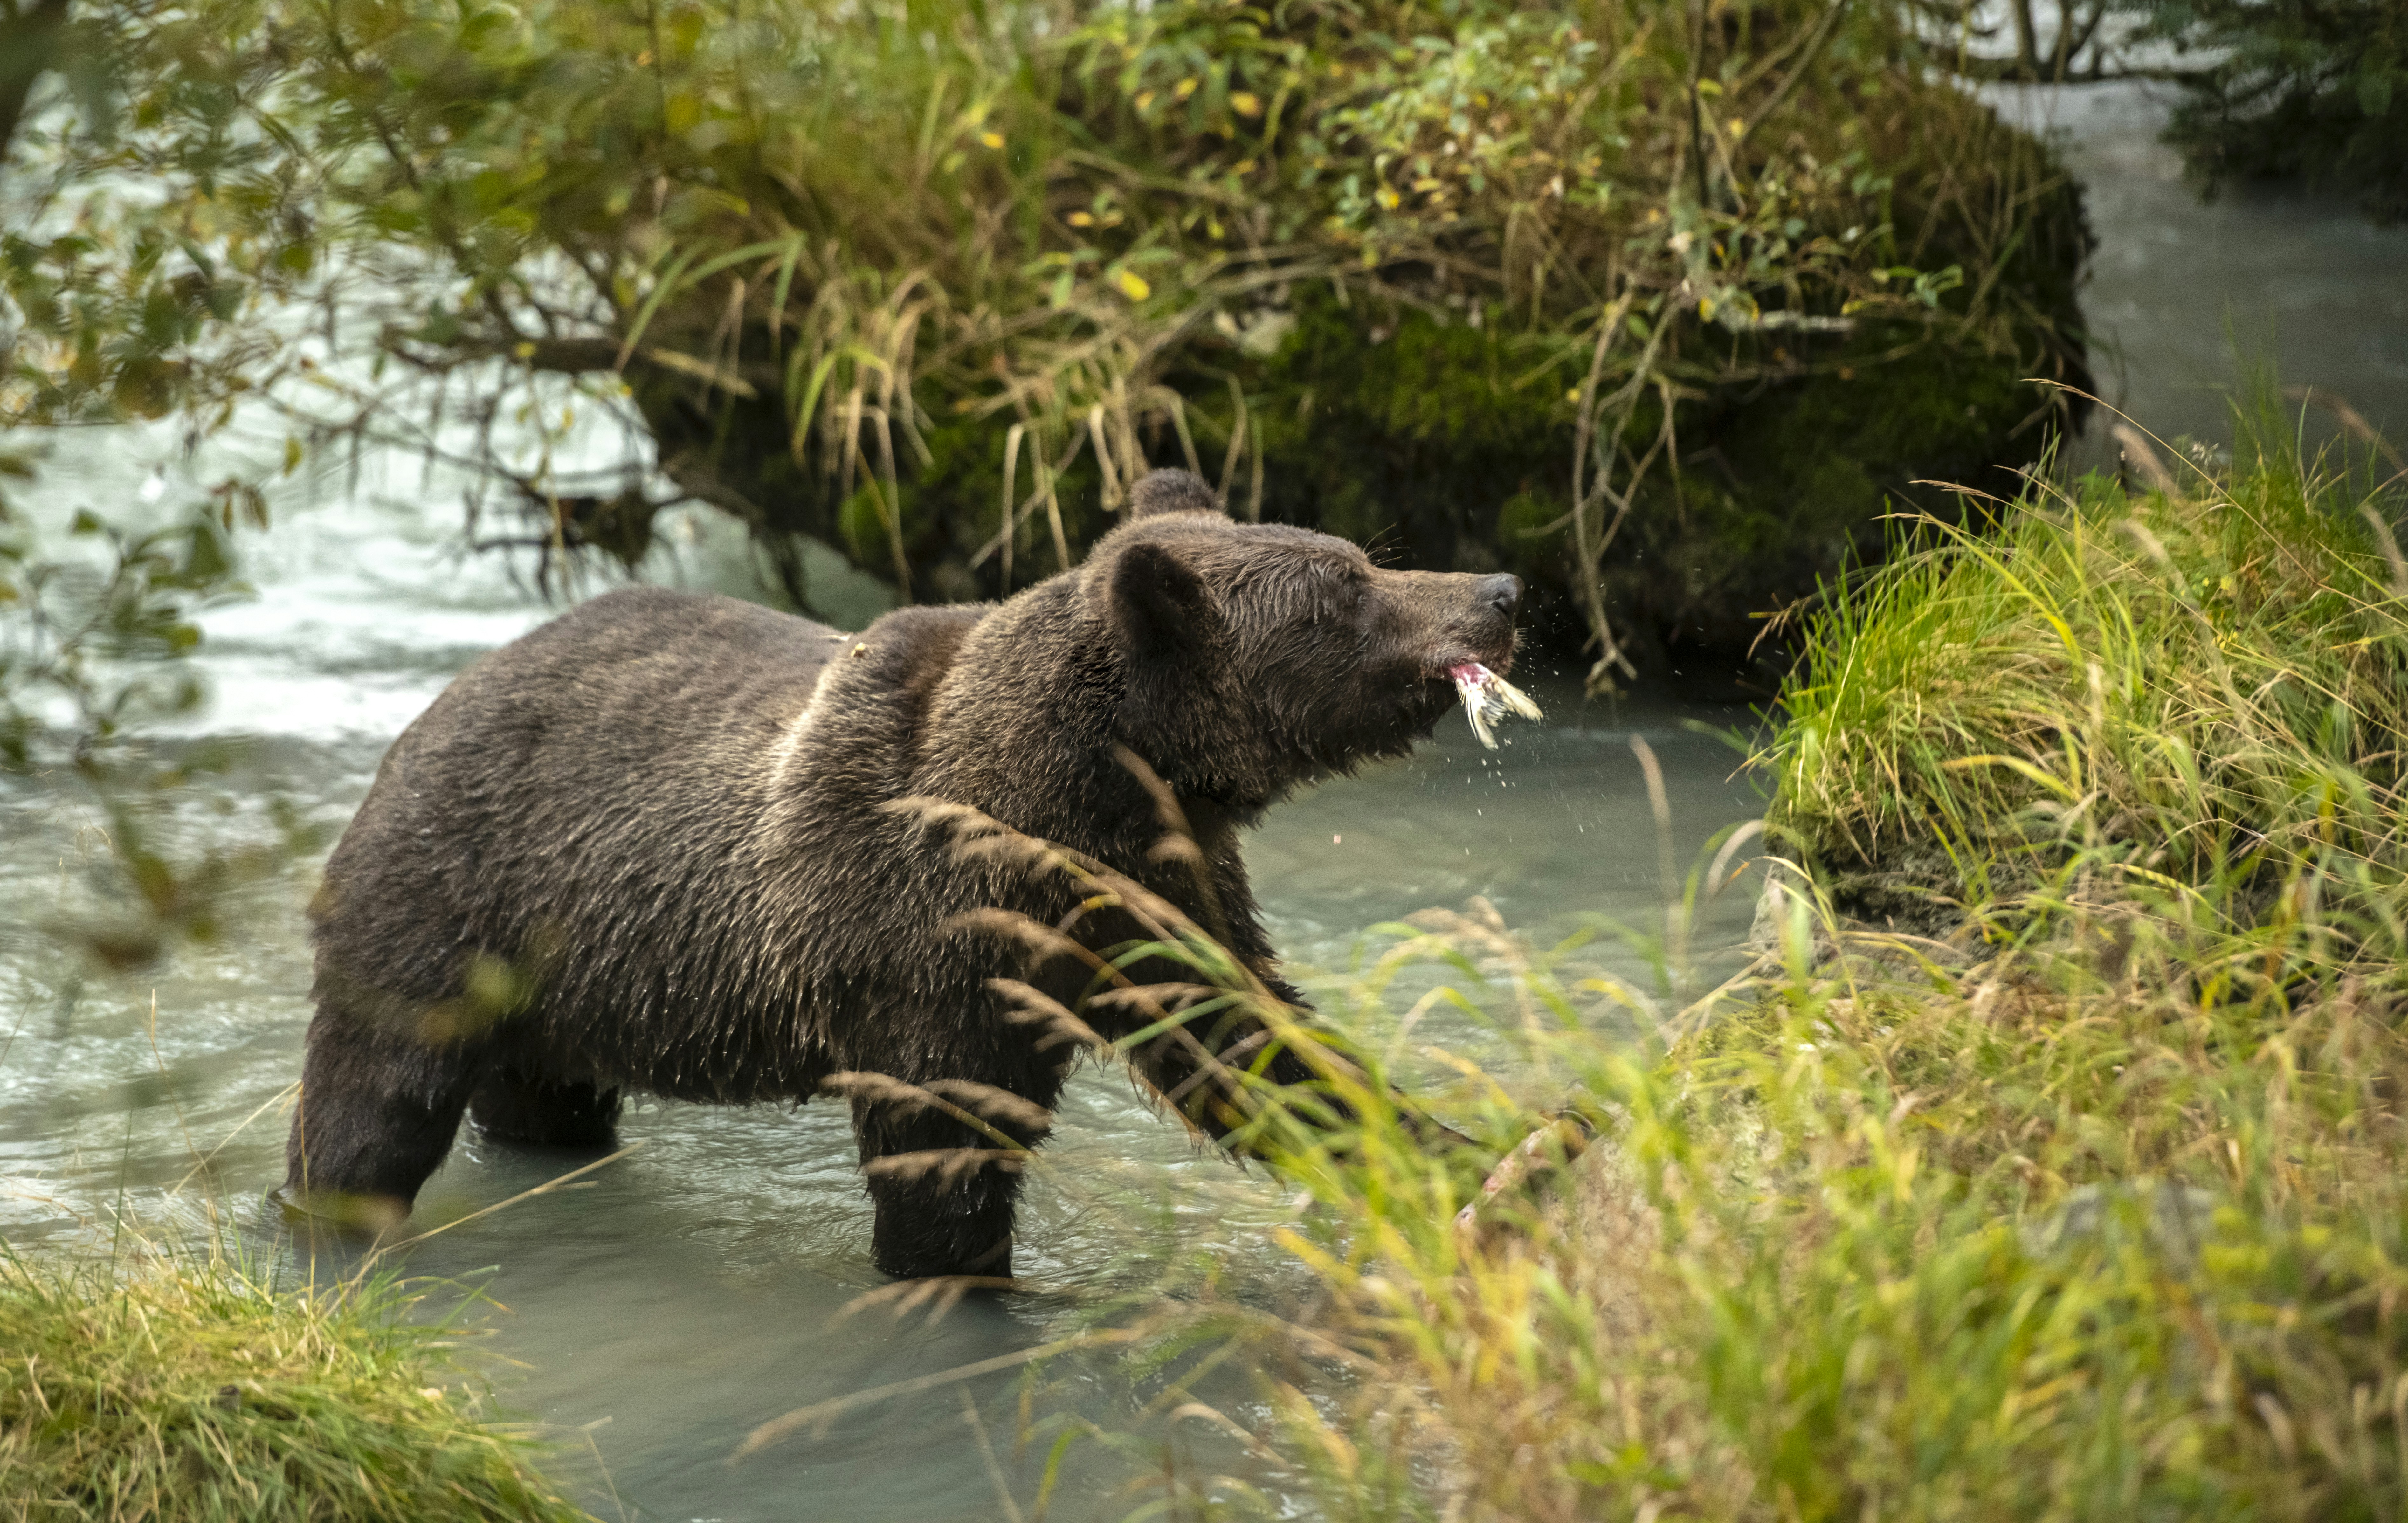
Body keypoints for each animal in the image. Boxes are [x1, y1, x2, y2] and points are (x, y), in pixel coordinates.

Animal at [282, 468, 1525, 1278]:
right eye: (1345, 588)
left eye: (1361, 557)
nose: (1503, 592)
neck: (1070, 800)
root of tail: (434, 706)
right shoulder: (921, 938)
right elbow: (944, 1145)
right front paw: (960, 1275)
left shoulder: (1157, 894)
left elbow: (1254, 1049)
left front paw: (1476, 1157)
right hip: (449, 901)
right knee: (371, 1104)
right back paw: (321, 1216)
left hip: (560, 977)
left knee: (542, 1100)